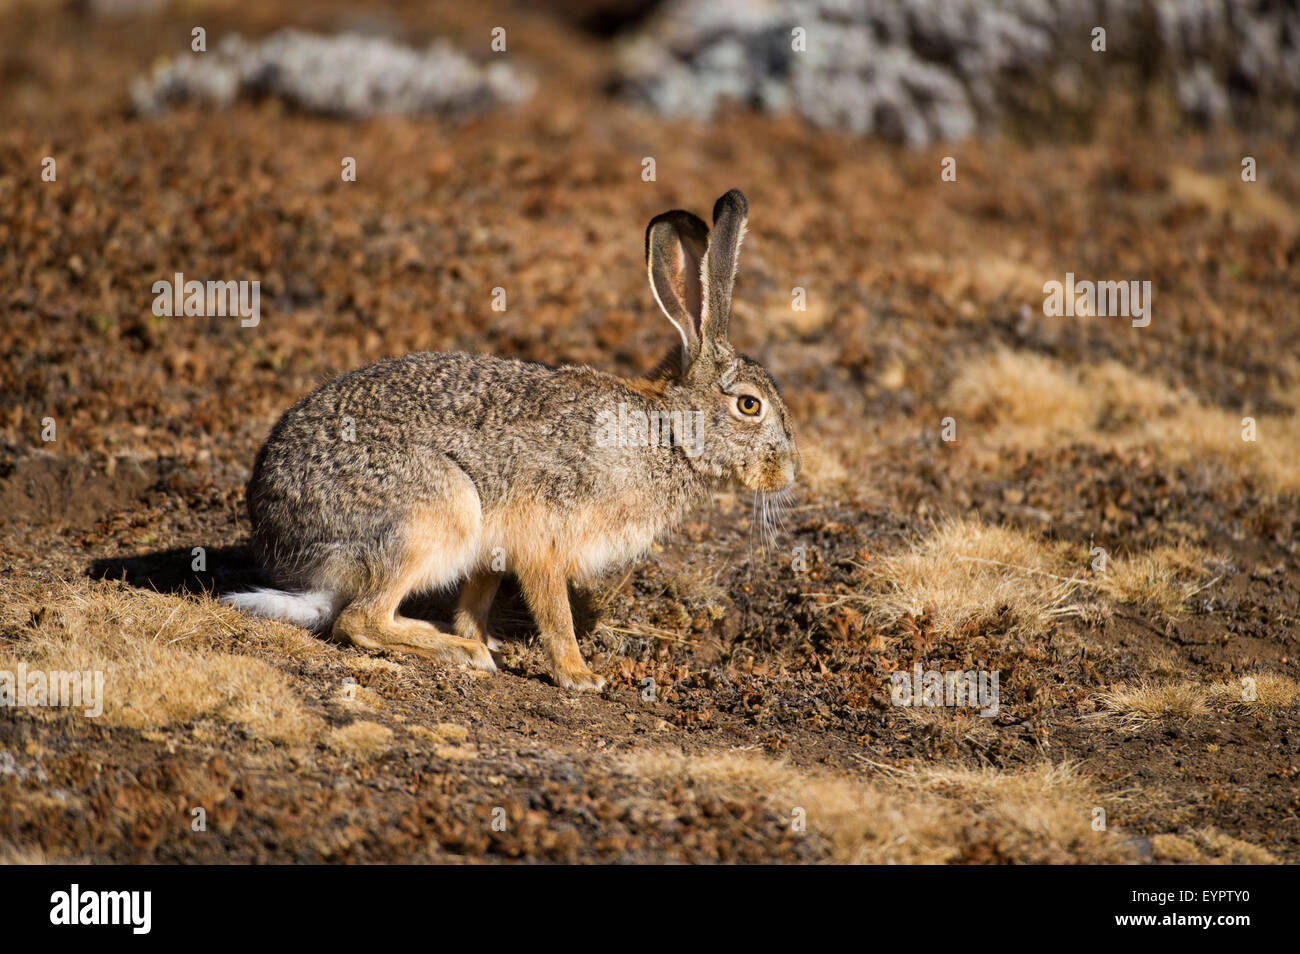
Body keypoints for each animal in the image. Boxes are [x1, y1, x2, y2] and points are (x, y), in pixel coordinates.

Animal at [222, 189, 798, 690]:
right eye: (750, 405)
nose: (790, 471)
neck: (672, 431)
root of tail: (281, 537)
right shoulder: (543, 535)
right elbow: (556, 614)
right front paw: (579, 676)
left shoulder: (493, 550)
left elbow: (475, 600)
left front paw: (483, 635)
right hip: (434, 511)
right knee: (358, 620)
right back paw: (460, 653)